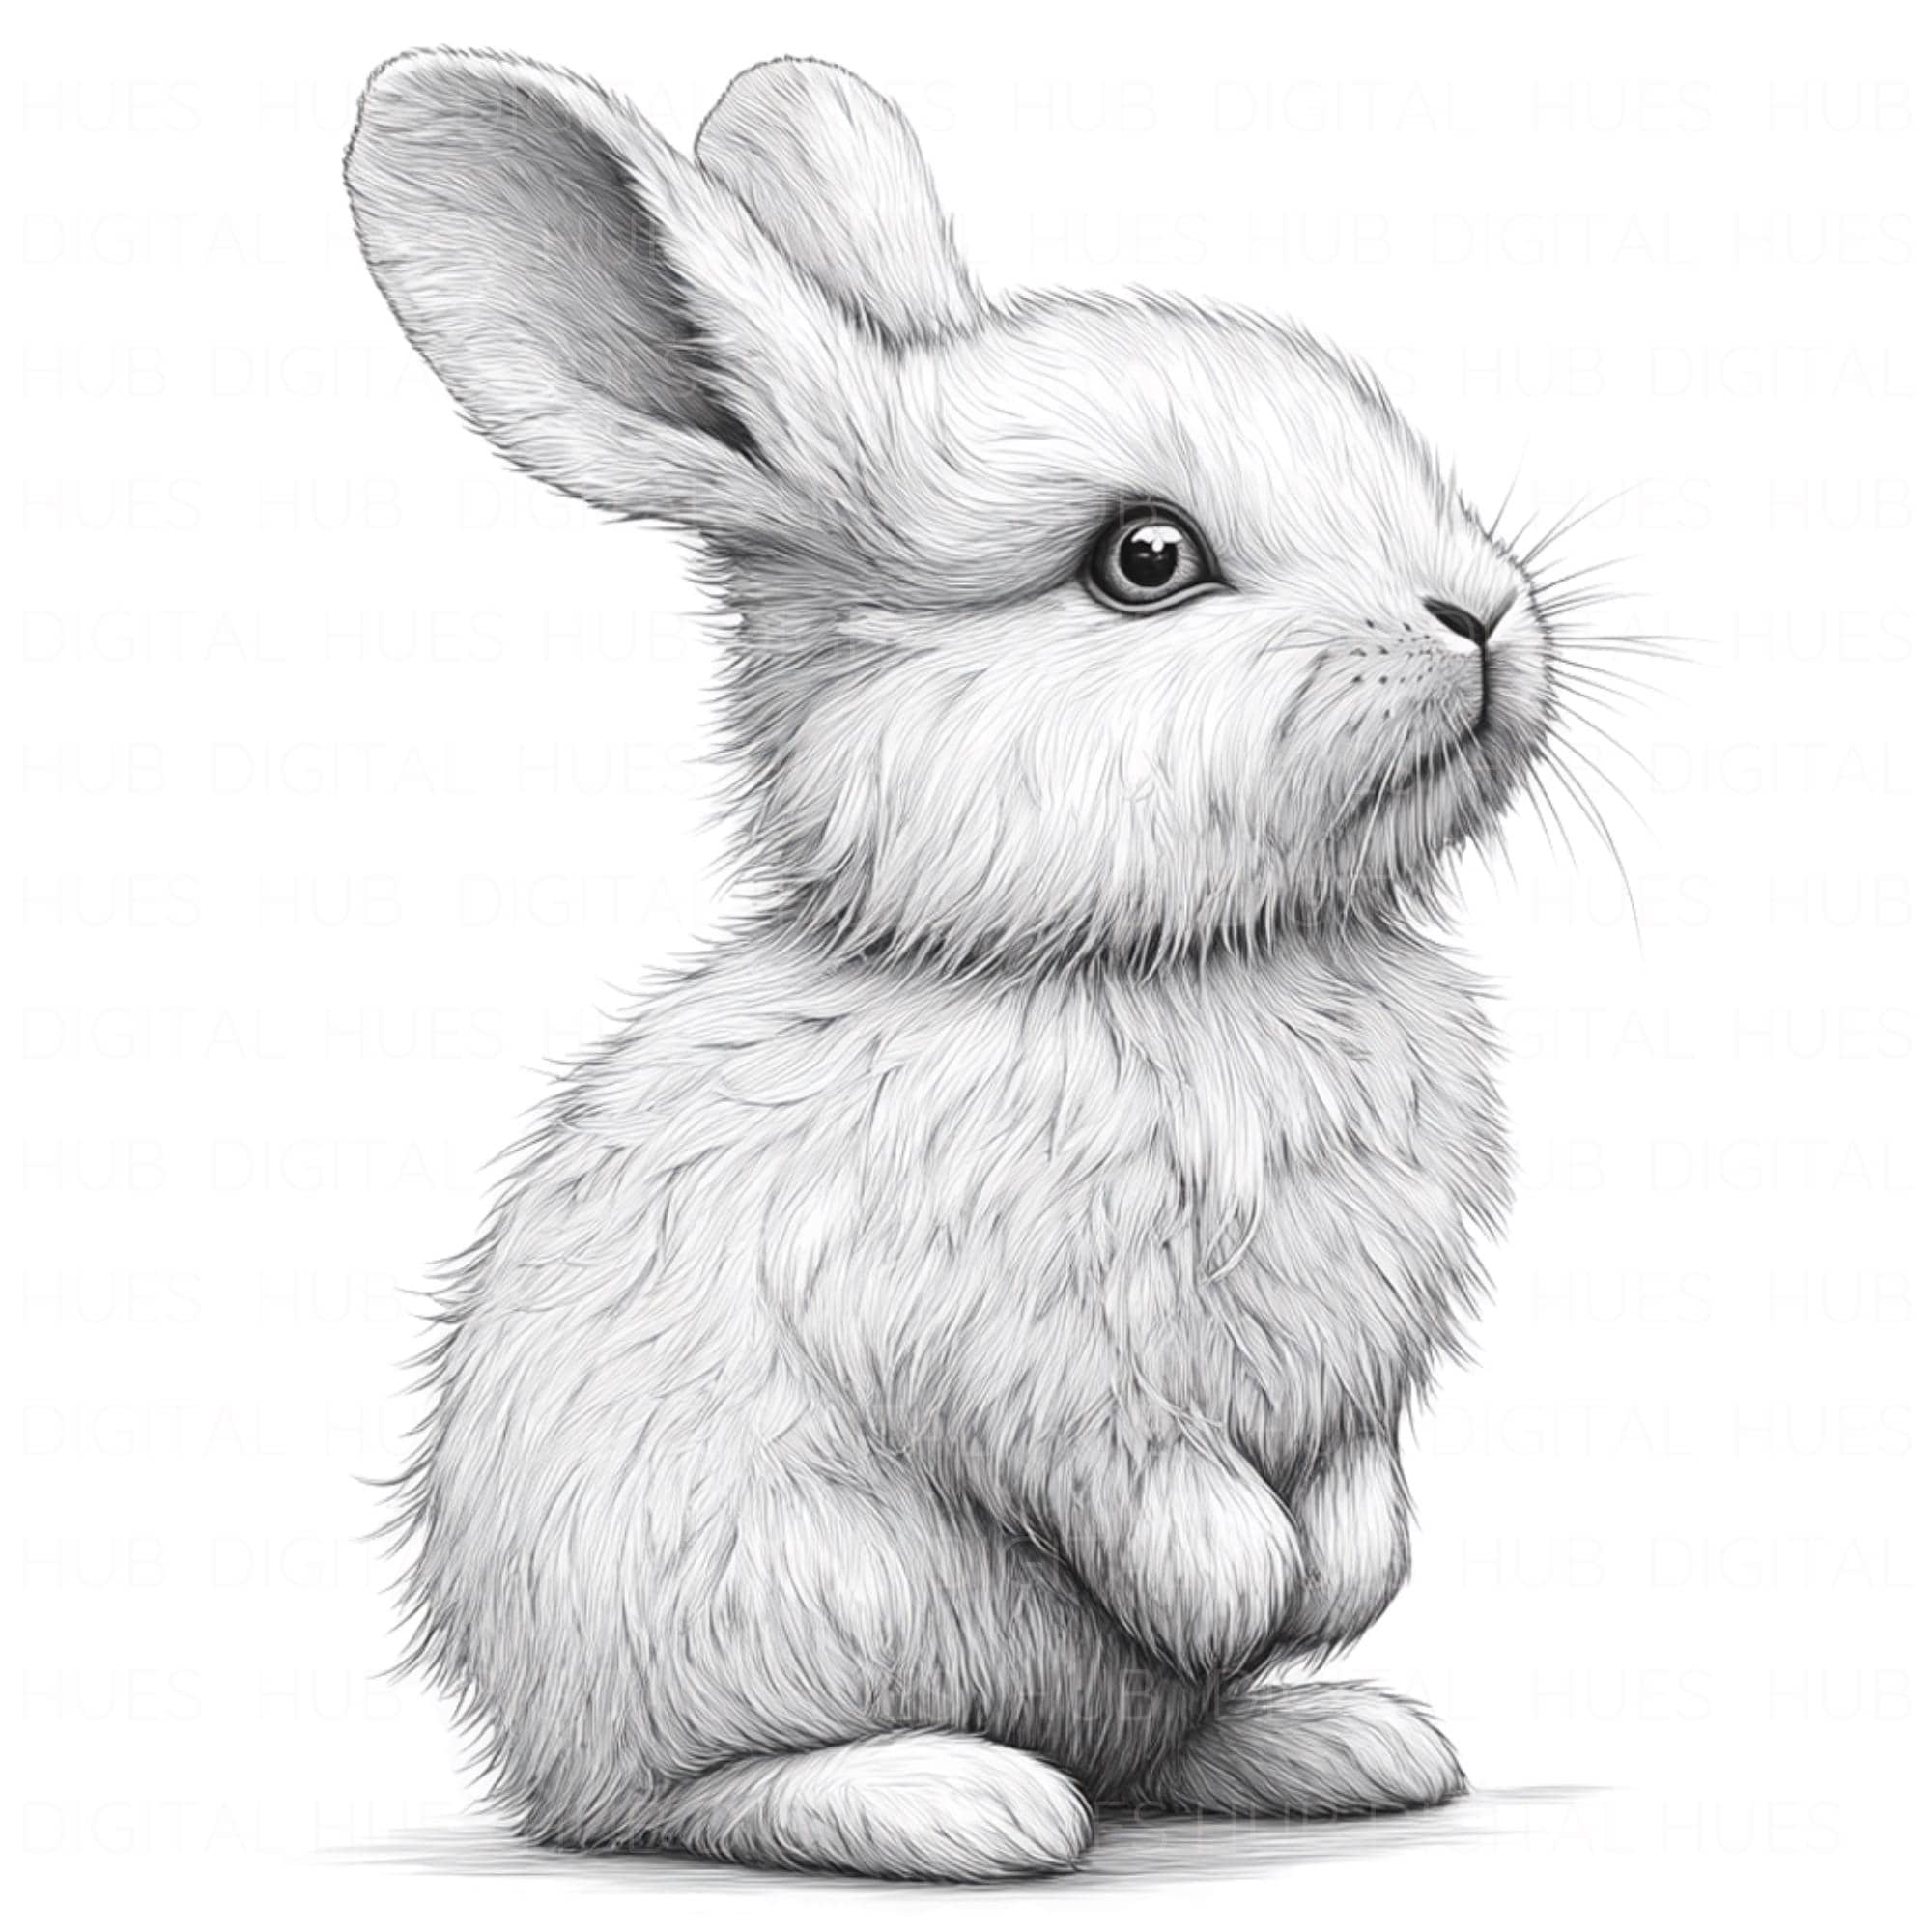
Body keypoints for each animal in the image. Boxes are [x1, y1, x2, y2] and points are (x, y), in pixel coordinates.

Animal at [346, 48, 1561, 1881]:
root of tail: (533, 1752)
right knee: (693, 1800)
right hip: (769, 1615)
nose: (1478, 614)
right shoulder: (1022, 1358)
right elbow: (1137, 1482)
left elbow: (1358, 1482)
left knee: (1154, 1748)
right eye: (1146, 557)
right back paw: (967, 1802)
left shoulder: (1358, 1380)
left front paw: (1338, 1591)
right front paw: (1246, 1585)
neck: (1145, 964)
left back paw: (1341, 1738)